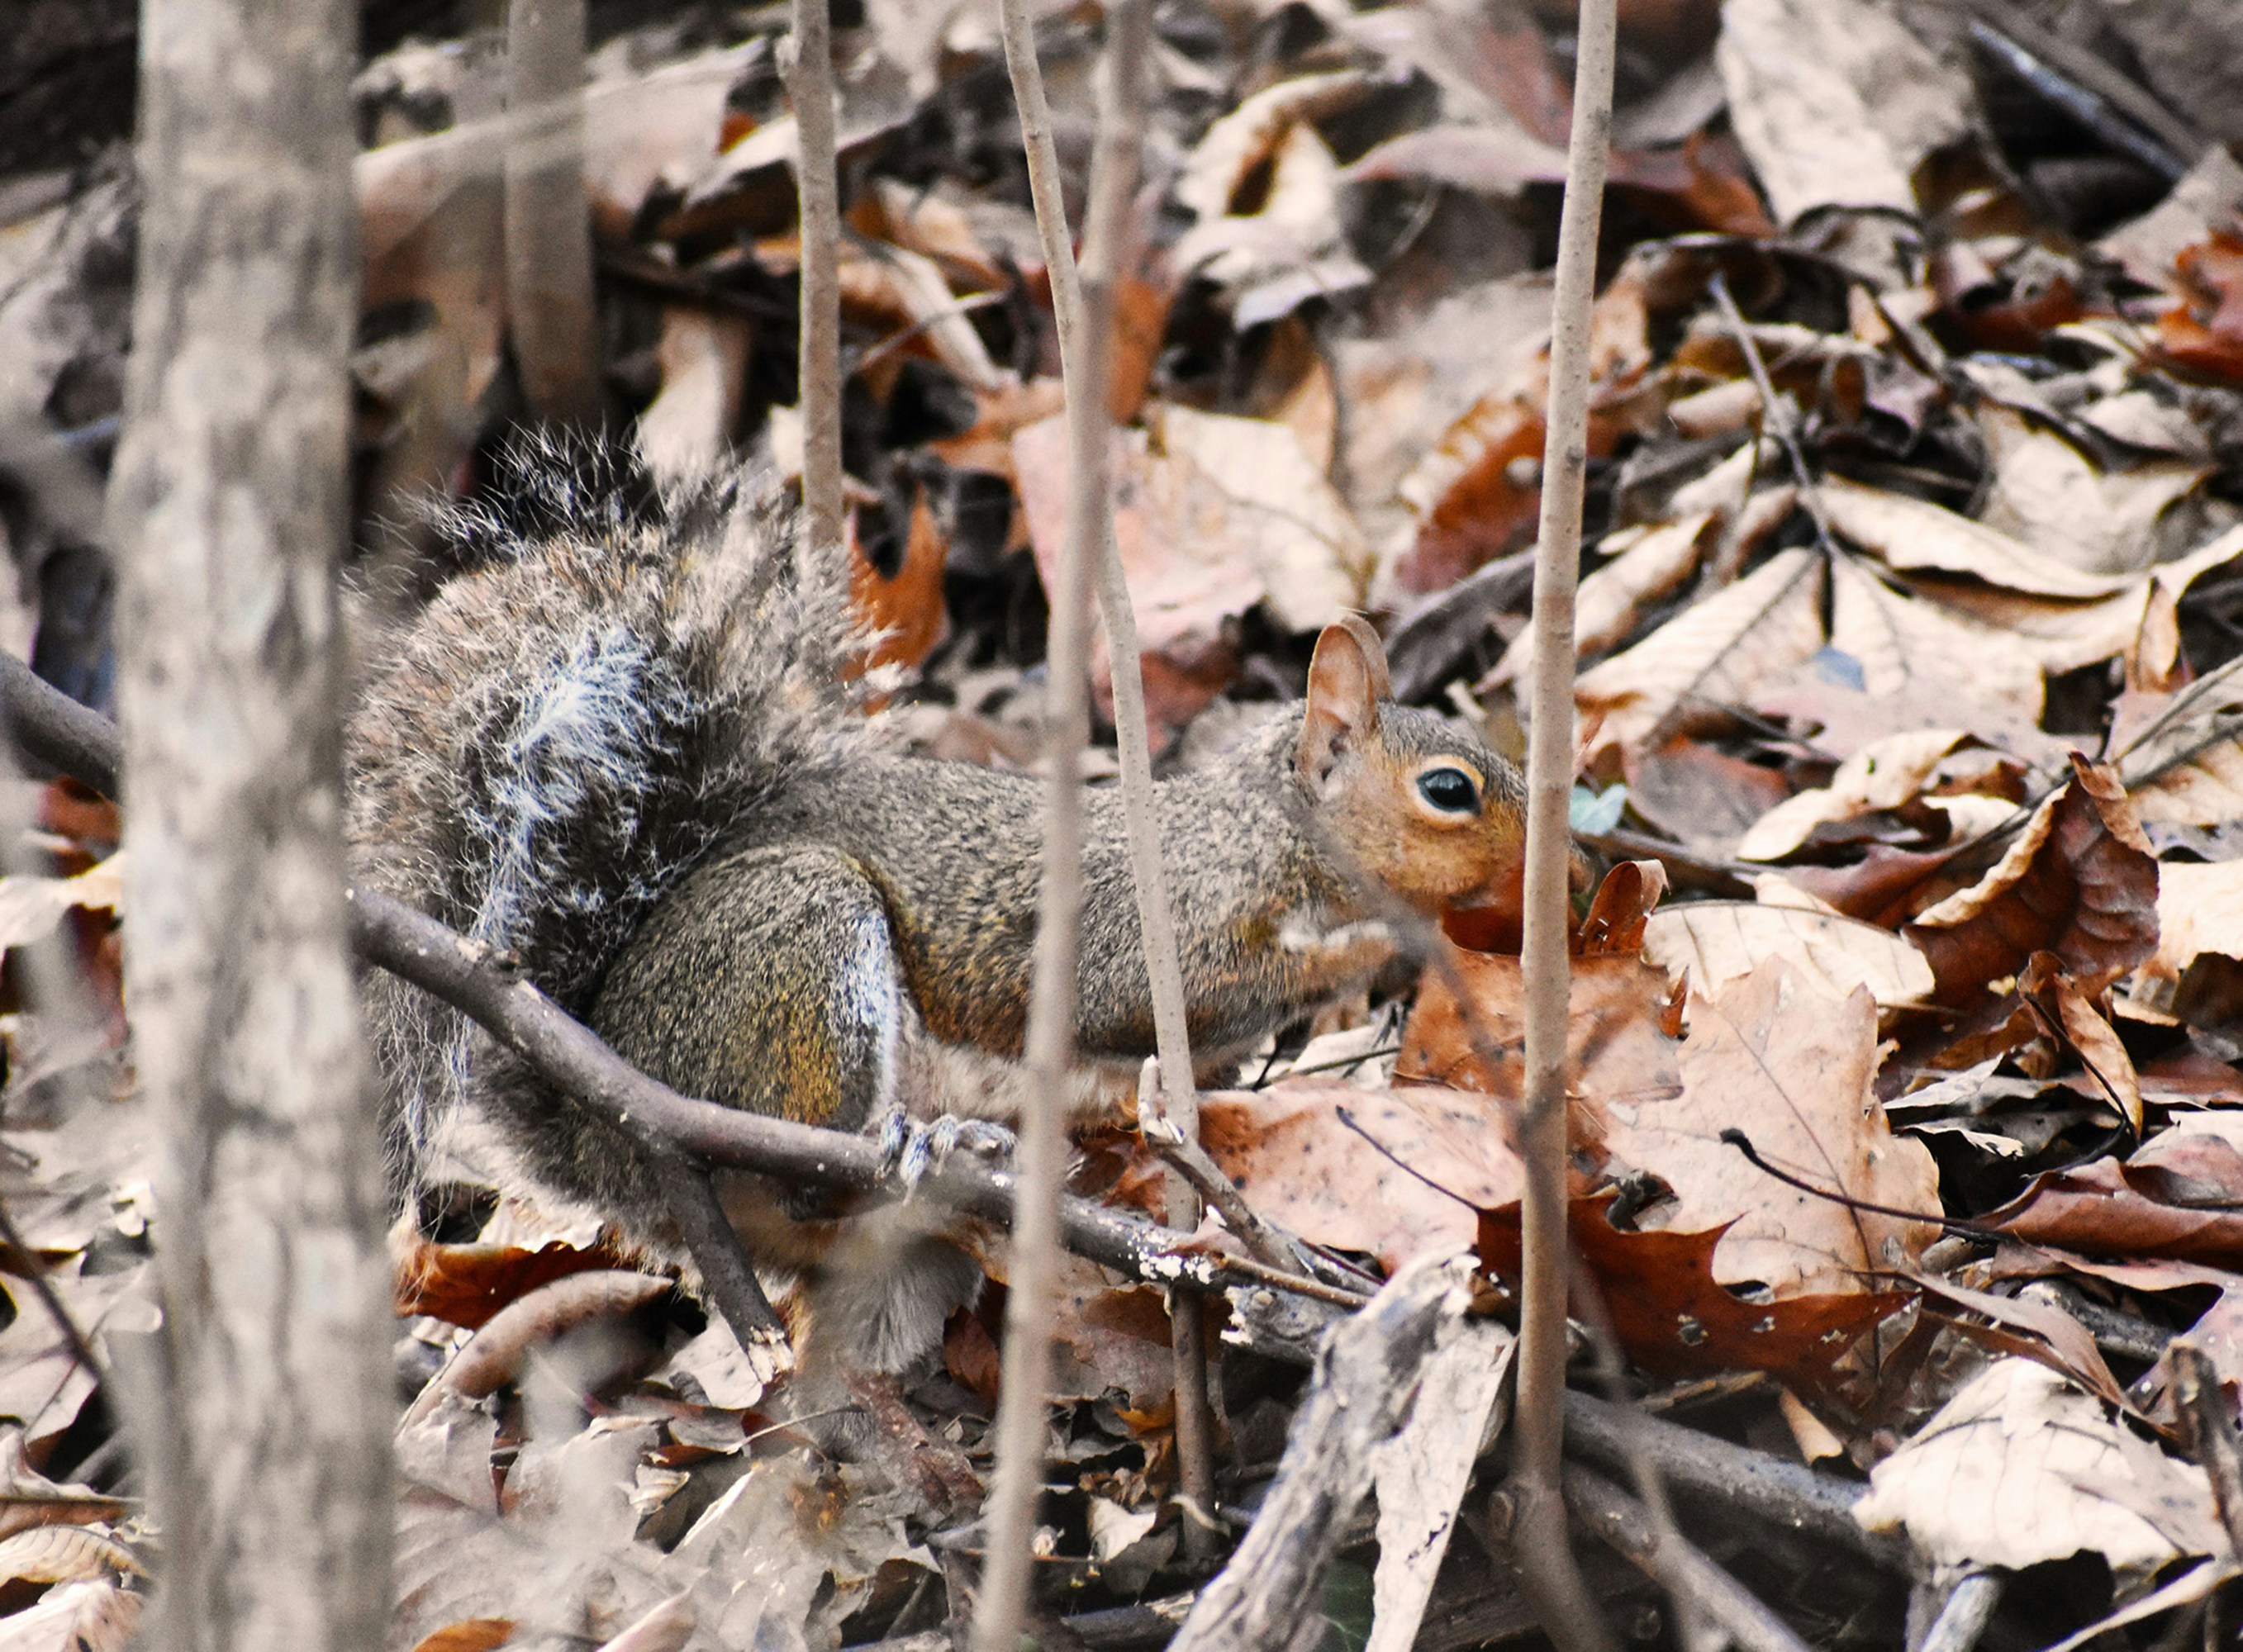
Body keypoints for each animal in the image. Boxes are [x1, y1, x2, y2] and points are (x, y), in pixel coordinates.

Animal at [348, 440, 1544, 1384]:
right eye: (1449, 790)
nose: (1556, 859)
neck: (1265, 831)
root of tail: (608, 1135)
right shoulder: (1156, 930)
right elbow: (1160, 996)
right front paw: (1384, 943)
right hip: (802, 946)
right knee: (814, 1163)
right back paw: (925, 1138)